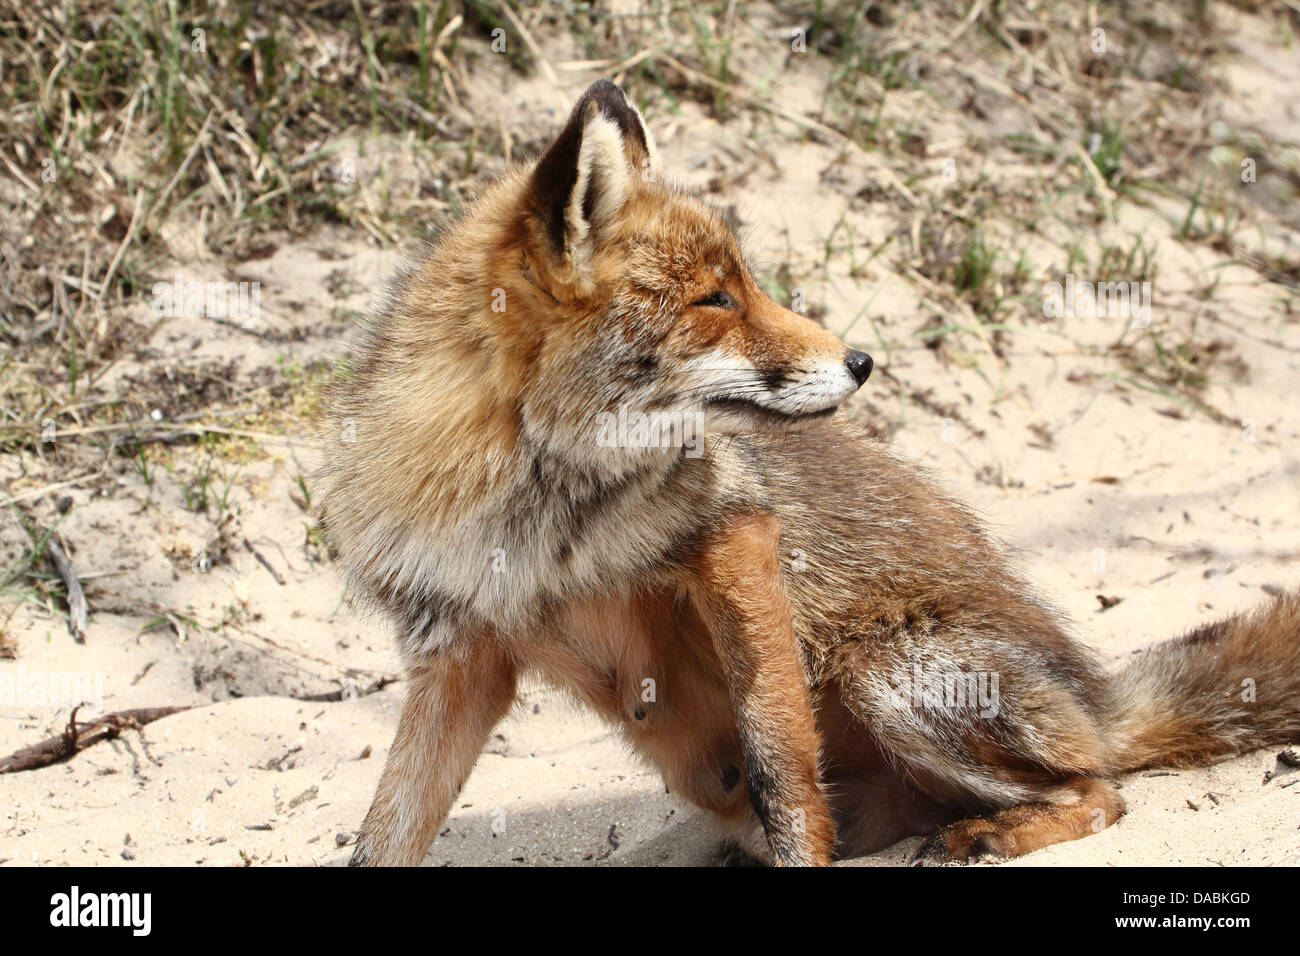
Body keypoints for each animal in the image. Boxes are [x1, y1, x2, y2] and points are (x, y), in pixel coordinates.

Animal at [317, 80, 1300, 866]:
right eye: (717, 300)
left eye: (745, 284)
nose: (862, 361)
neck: (534, 515)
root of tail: (1094, 691)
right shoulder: (460, 657)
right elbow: (384, 833)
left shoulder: (734, 537)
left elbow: (782, 772)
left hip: (890, 671)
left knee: (1100, 787)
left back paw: (991, 833)